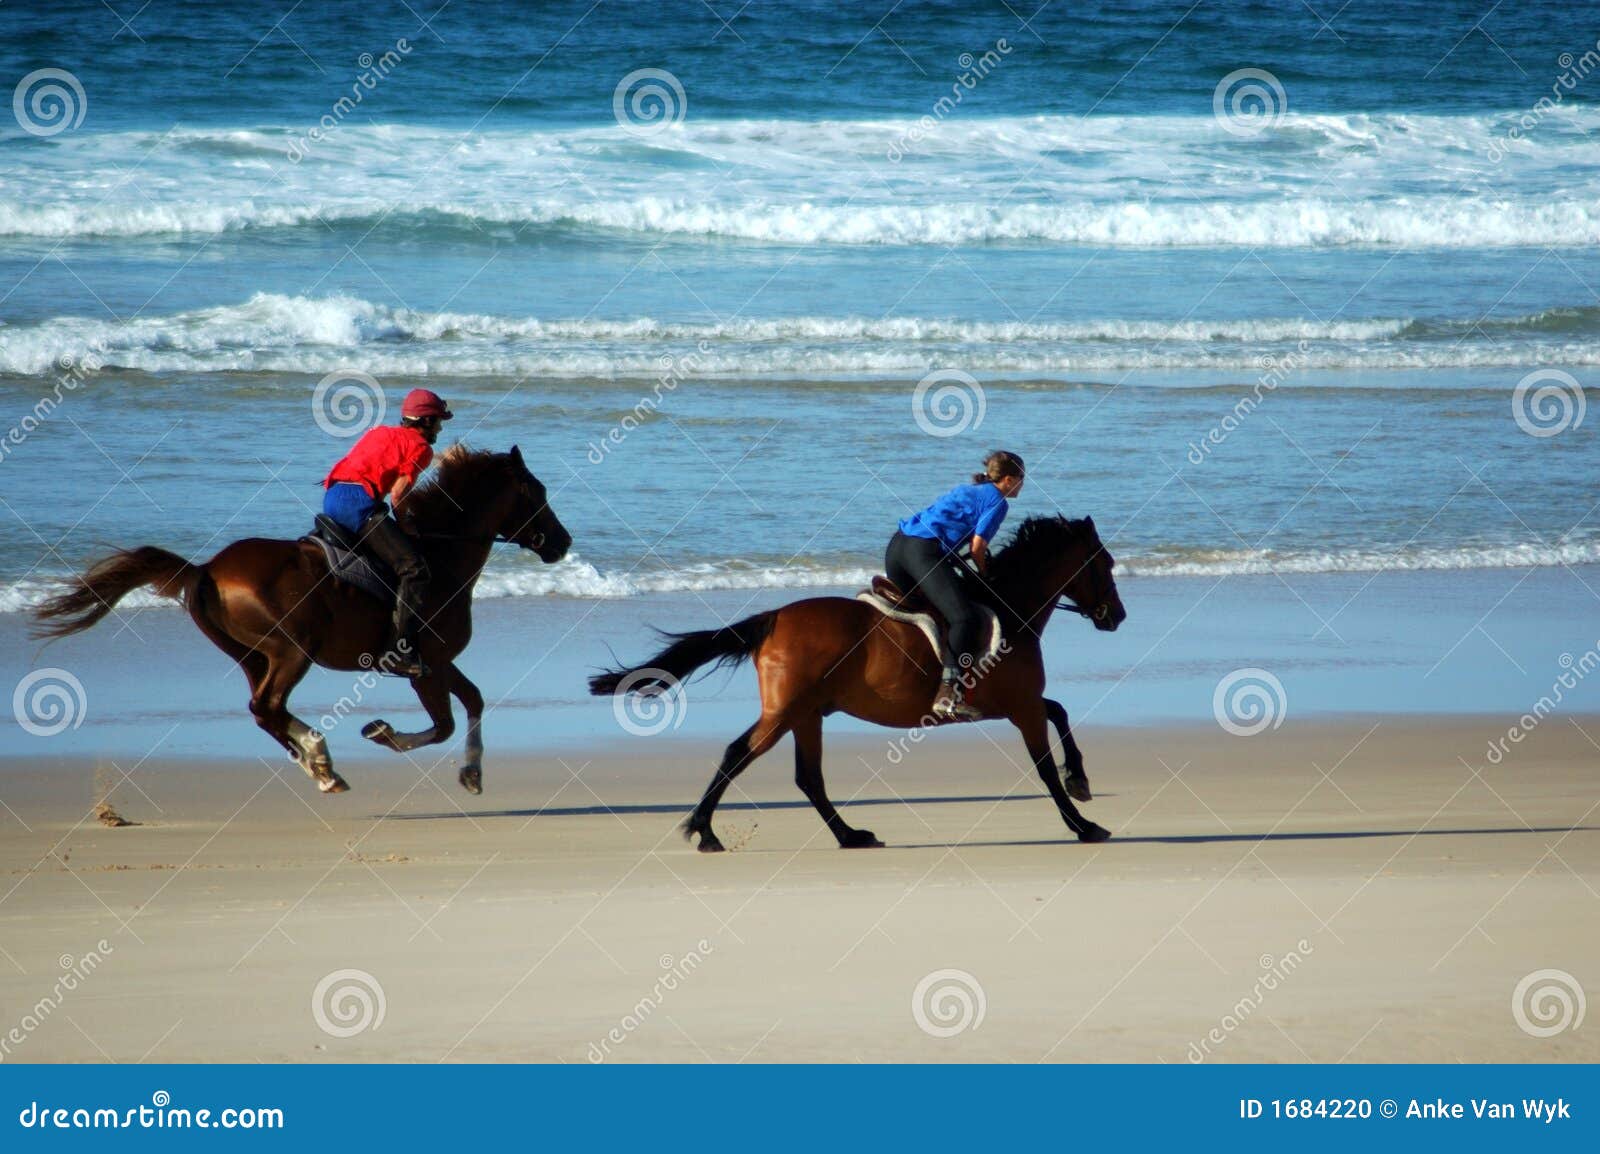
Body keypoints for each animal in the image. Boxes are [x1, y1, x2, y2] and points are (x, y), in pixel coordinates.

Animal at [32, 445, 571, 796]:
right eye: (537, 492)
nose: (563, 543)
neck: (441, 555)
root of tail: (206, 571)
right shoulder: (427, 667)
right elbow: (442, 724)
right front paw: (381, 732)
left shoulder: (440, 663)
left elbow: (473, 701)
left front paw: (473, 772)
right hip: (291, 651)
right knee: (267, 706)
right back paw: (322, 761)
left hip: (254, 655)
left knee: (262, 710)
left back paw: (319, 763)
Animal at [590, 514, 1125, 851]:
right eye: (1105, 564)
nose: (1116, 616)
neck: (1011, 605)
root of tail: (774, 619)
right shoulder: (1021, 707)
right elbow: (1046, 766)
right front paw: (1084, 822)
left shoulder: (1020, 703)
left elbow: (1060, 713)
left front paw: (1081, 782)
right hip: (786, 712)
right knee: (739, 753)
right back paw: (705, 832)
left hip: (806, 714)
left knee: (808, 777)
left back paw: (850, 836)